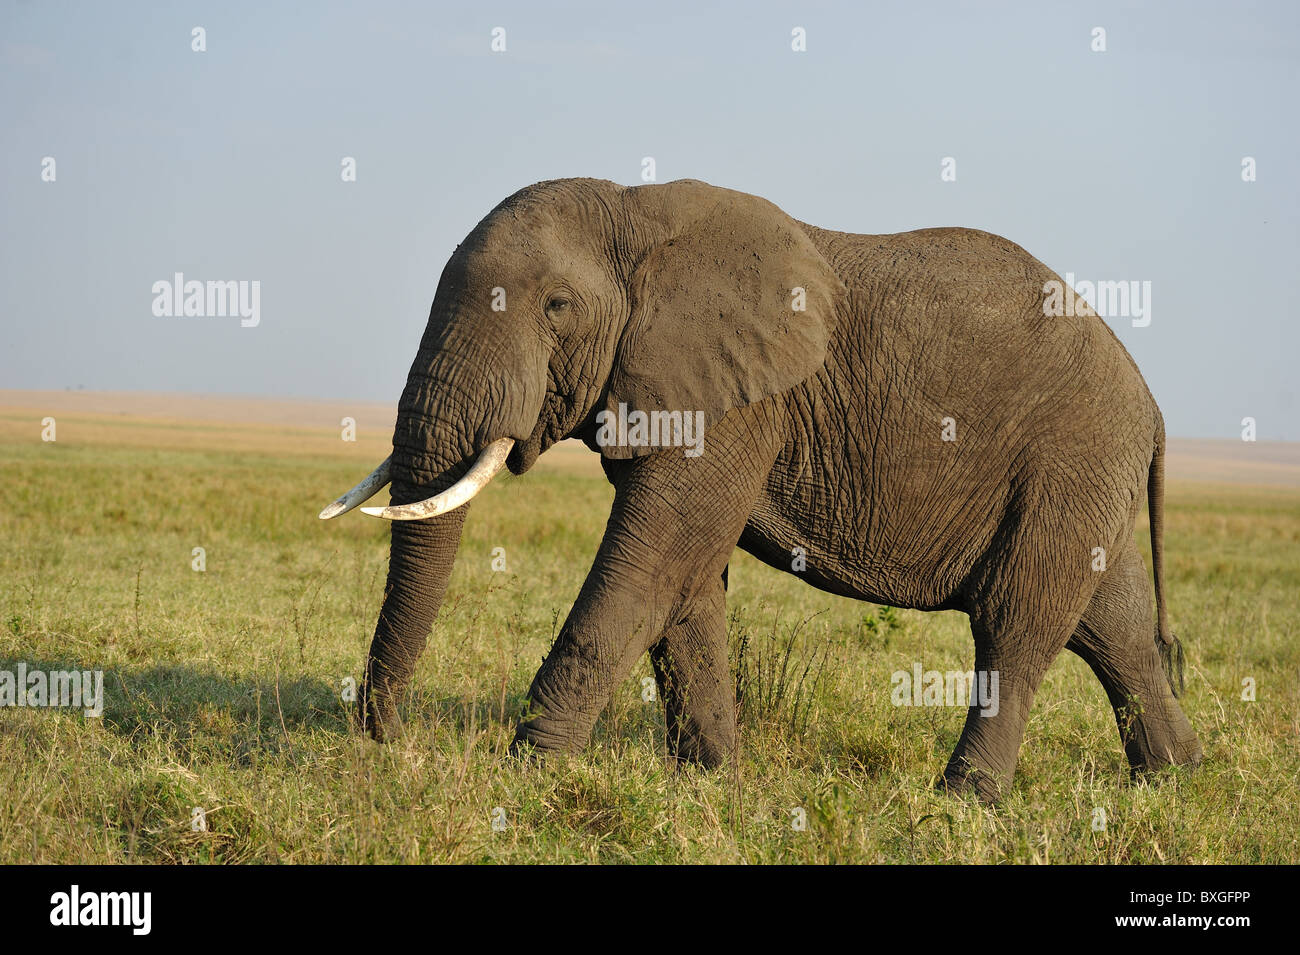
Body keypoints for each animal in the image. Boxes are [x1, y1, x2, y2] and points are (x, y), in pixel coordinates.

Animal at [318, 177, 1202, 802]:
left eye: (556, 306)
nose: (383, 738)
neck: (632, 210)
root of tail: (1154, 403)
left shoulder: (741, 403)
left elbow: (651, 563)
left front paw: (530, 776)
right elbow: (686, 582)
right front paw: (712, 782)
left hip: (1071, 454)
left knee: (1016, 624)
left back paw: (963, 803)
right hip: (1086, 472)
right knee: (1114, 626)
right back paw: (1177, 782)